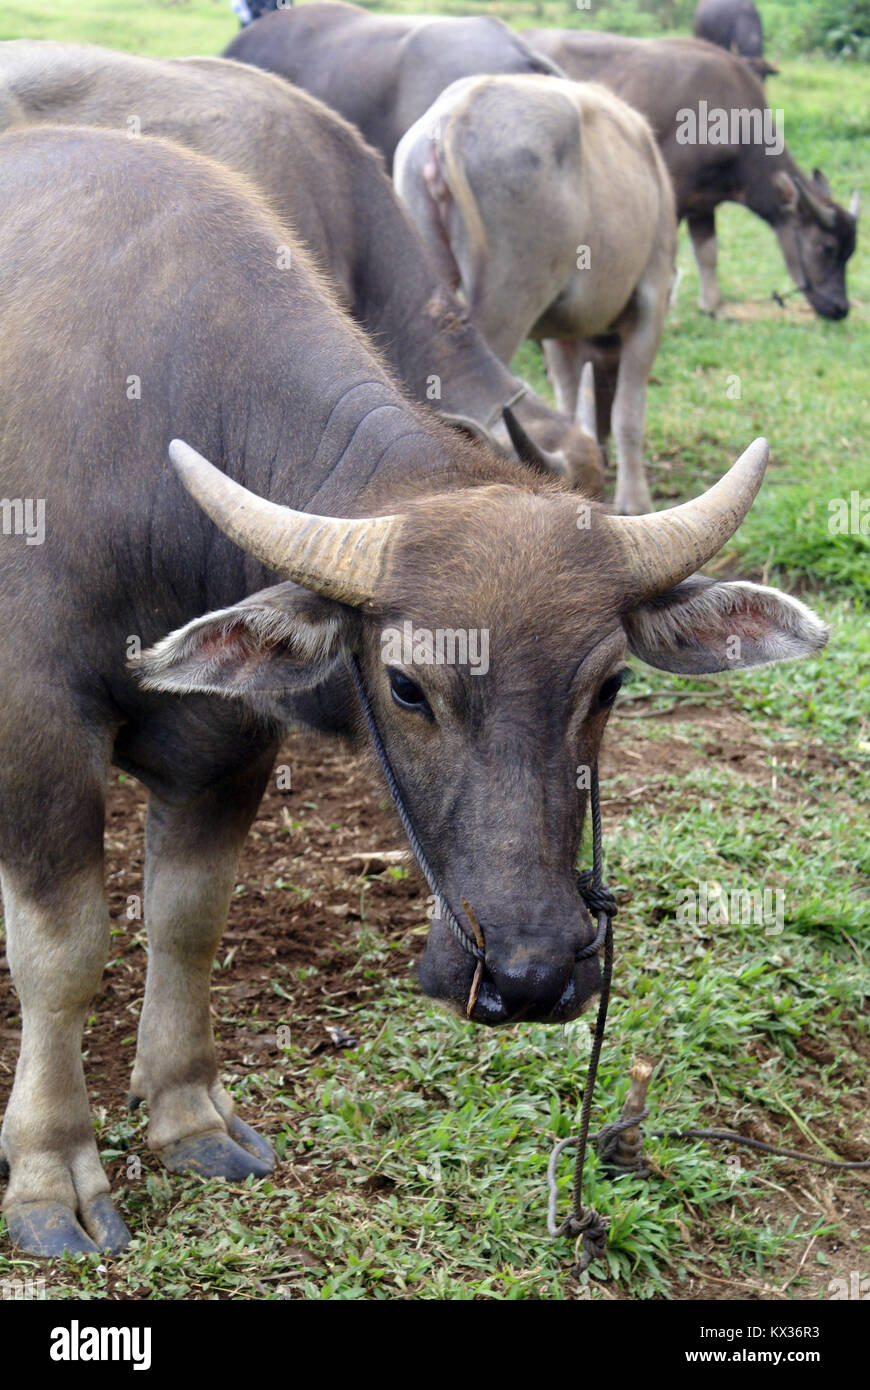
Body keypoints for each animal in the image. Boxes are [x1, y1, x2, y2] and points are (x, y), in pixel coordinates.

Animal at [0, 125, 826, 1258]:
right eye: (405, 684)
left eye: (611, 682)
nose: (531, 973)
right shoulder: (34, 734)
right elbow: (64, 953)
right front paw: (50, 1170)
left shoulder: (230, 739)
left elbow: (188, 917)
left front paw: (189, 1115)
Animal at [394, 75, 678, 515]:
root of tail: (454, 115)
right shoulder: (653, 300)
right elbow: (629, 411)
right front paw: (635, 502)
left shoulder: (560, 334)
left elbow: (568, 390)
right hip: (508, 297)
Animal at [522, 29, 858, 319]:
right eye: (827, 248)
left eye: (851, 251)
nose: (840, 308)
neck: (733, 123)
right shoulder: (677, 195)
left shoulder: (704, 202)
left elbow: (708, 252)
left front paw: (715, 307)